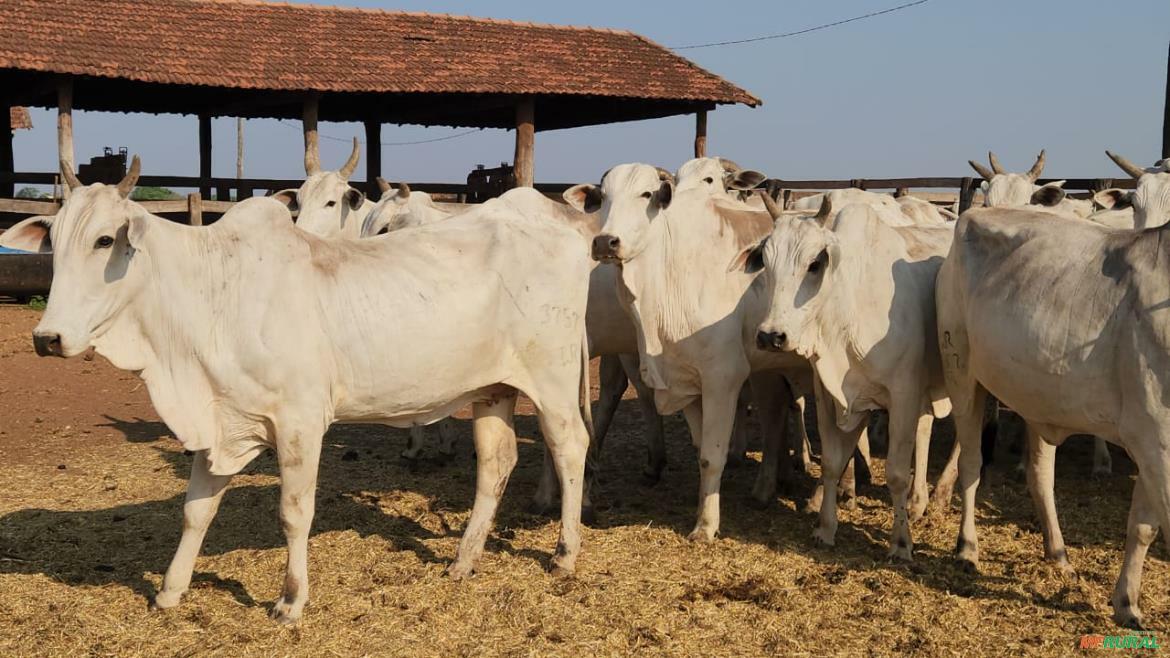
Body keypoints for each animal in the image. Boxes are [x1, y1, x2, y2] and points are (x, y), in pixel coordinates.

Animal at [21, 159, 593, 624]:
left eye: (103, 240)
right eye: (55, 241)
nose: (47, 338)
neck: (210, 294)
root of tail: (561, 220)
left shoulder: (299, 422)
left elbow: (294, 512)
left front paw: (291, 599)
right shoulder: (221, 419)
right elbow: (196, 509)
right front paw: (170, 591)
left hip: (553, 379)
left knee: (571, 448)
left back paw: (565, 554)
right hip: (493, 388)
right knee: (495, 463)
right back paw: (463, 560)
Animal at [566, 163, 815, 541]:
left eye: (647, 193)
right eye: (602, 196)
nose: (605, 242)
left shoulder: (722, 380)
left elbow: (713, 455)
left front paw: (706, 526)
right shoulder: (686, 382)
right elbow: (702, 452)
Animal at [745, 196, 952, 556]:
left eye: (814, 264)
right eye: (766, 264)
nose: (771, 336)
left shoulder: (904, 394)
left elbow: (896, 472)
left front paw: (901, 542)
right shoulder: (830, 394)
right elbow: (831, 461)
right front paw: (825, 528)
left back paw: (940, 494)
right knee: (926, 428)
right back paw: (918, 500)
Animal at [936, 204, 1170, 628]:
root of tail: (974, 212)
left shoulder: (1150, 440)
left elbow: (1144, 525)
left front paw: (1127, 603)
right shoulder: (1156, 434)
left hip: (1035, 397)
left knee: (1040, 474)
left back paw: (1058, 553)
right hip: (960, 370)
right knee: (972, 464)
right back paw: (967, 547)